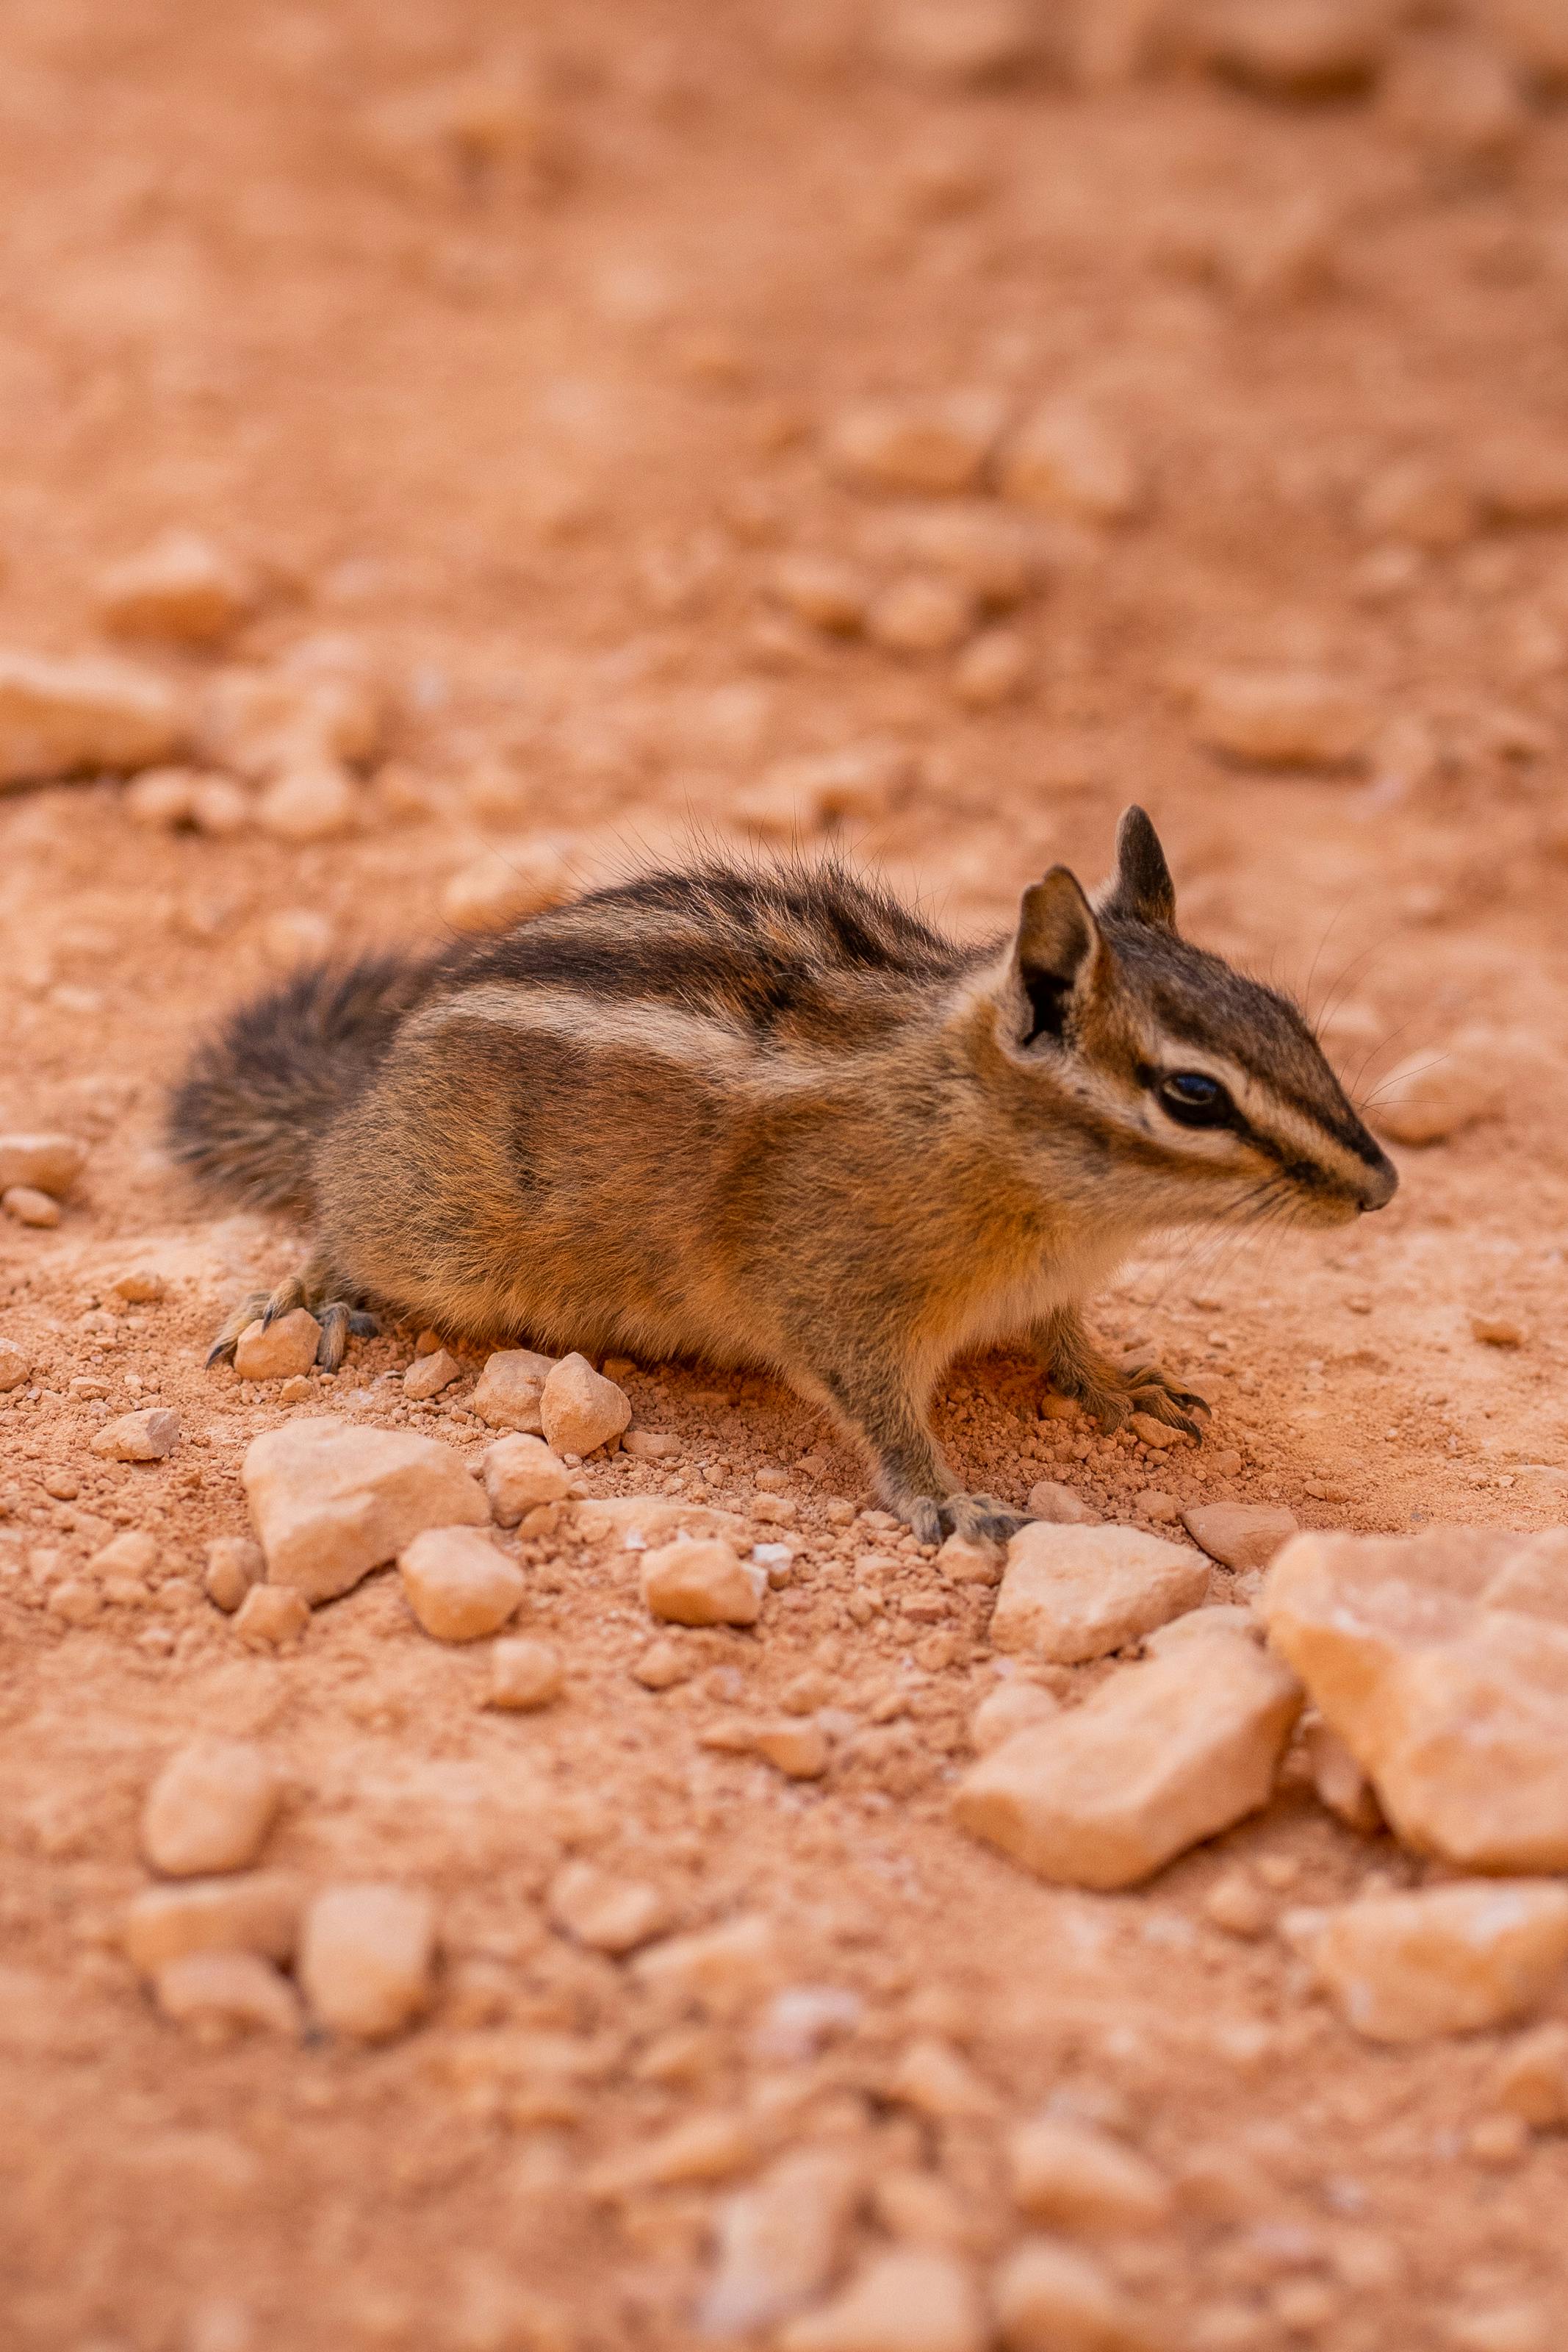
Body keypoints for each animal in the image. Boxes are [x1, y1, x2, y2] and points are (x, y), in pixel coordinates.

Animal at [169, 807, 1396, 1543]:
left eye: (1290, 1020)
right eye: (1192, 1094)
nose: (1379, 1187)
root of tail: (376, 1082)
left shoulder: (1048, 1285)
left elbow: (1065, 1338)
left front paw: (1115, 1383)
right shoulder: (831, 1291)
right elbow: (882, 1410)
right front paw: (949, 1499)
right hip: (433, 1222)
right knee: (337, 1203)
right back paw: (311, 1295)